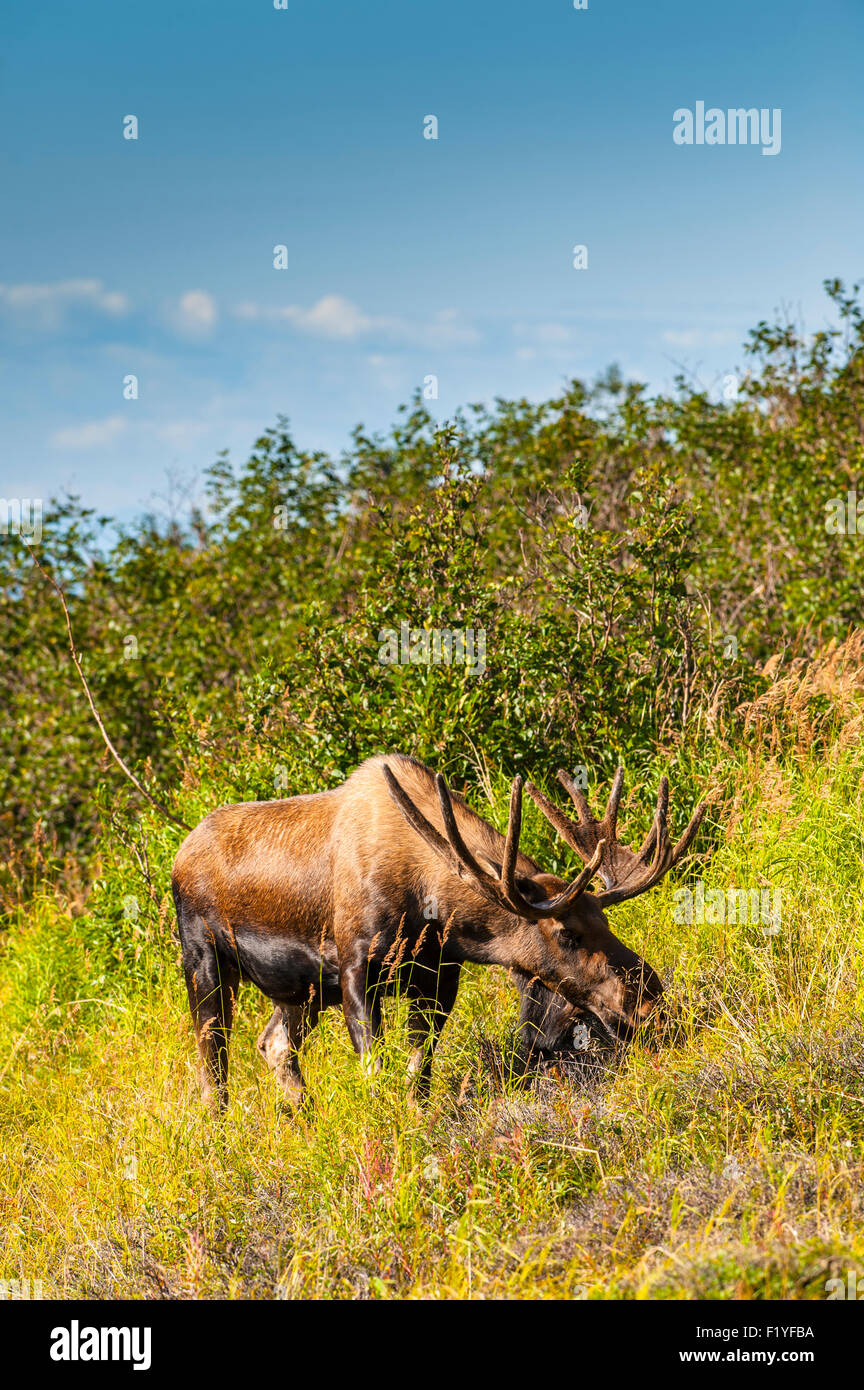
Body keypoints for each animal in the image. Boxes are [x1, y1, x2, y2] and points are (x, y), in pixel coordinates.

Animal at [171, 754, 705, 1111]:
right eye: (567, 933)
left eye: (606, 921)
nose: (649, 998)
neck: (430, 899)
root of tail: (179, 854)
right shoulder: (355, 966)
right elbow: (375, 1070)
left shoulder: (439, 975)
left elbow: (418, 1071)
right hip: (204, 960)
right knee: (213, 1069)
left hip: (300, 992)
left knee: (274, 1045)